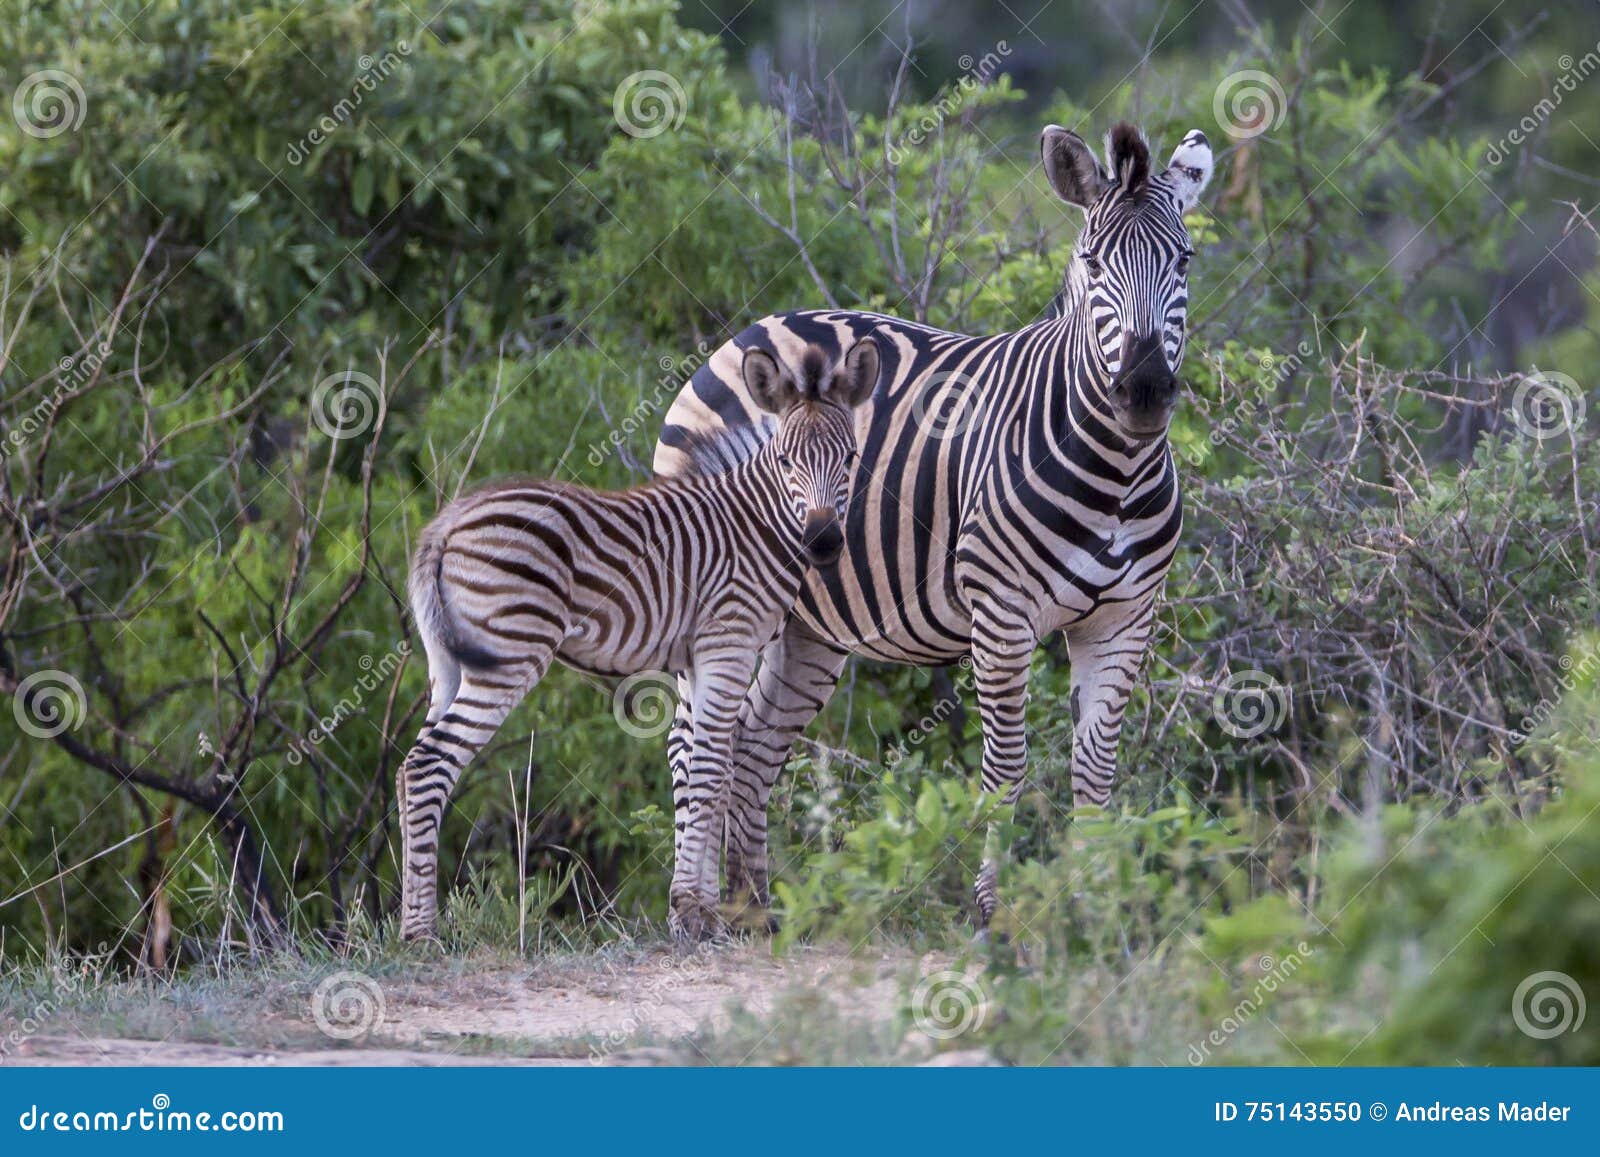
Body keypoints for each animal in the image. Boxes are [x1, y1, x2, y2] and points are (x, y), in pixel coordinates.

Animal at [396, 336, 882, 941]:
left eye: (850, 458)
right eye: (787, 462)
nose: (823, 542)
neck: (756, 525)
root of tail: (446, 523)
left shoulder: (699, 656)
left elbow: (705, 766)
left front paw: (696, 907)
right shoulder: (729, 642)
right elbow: (711, 766)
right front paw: (698, 914)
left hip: (447, 663)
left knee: (409, 768)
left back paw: (410, 926)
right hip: (509, 656)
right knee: (428, 766)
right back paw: (422, 935)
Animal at [653, 122, 1213, 929]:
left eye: (1185, 259)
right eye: (1093, 263)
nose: (1141, 392)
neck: (1116, 473)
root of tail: (756, 328)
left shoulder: (1125, 619)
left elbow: (1095, 765)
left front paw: (1094, 907)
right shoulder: (1002, 613)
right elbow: (1007, 763)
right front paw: (993, 910)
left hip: (807, 620)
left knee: (750, 742)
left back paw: (753, 907)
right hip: (711, 585)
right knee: (692, 734)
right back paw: (691, 909)